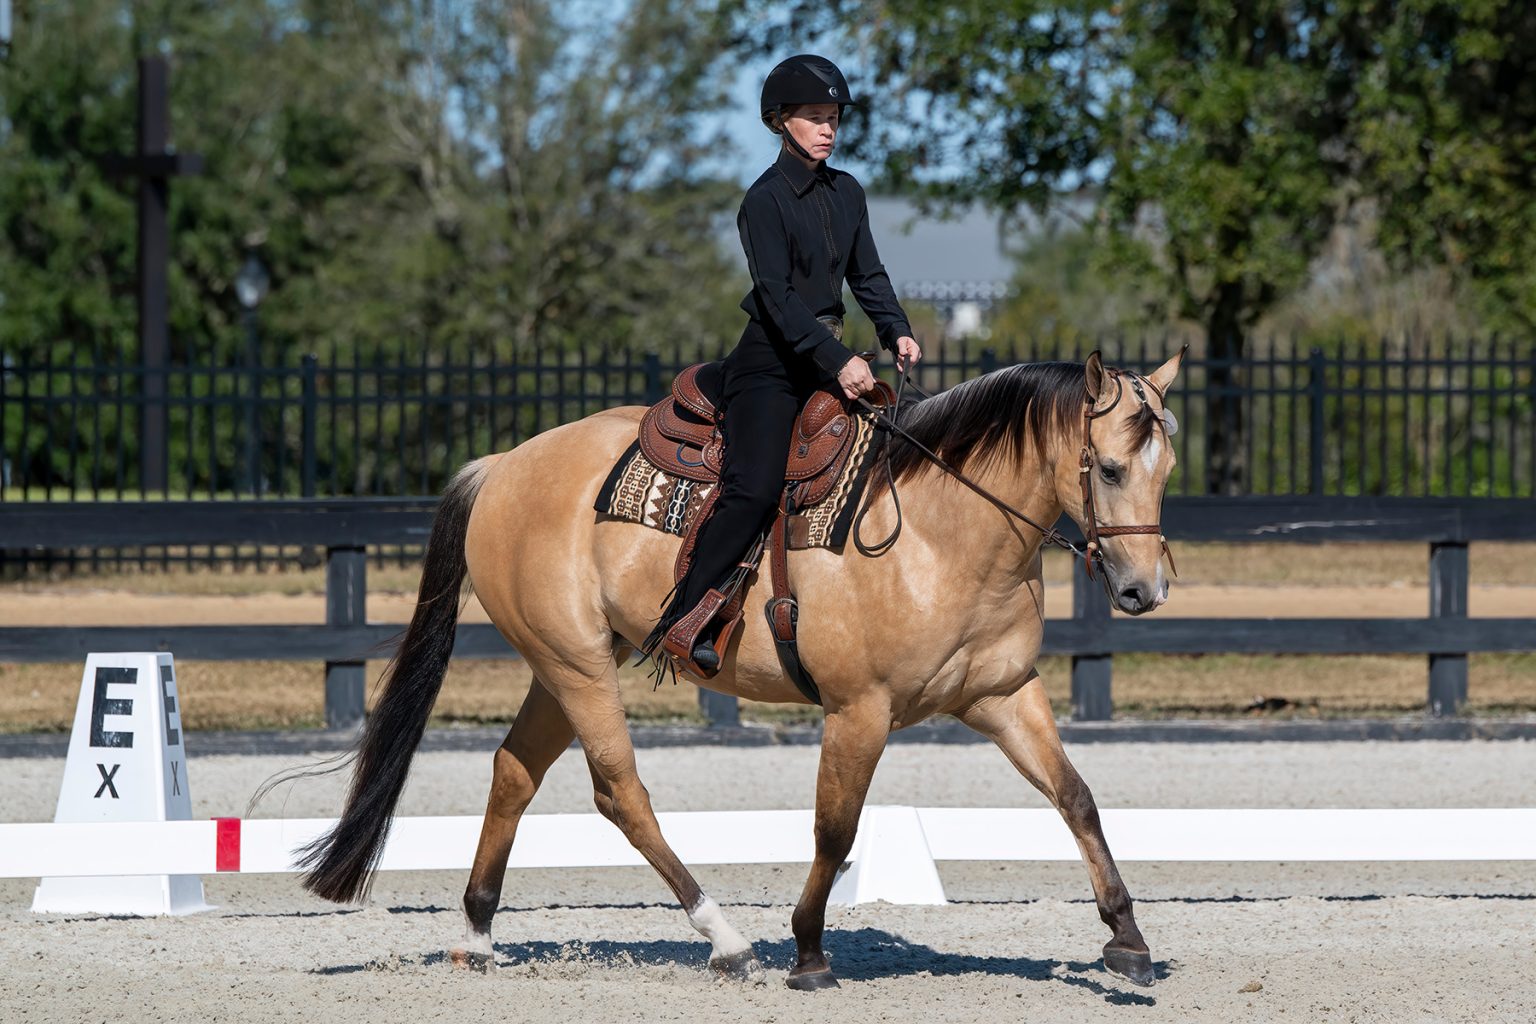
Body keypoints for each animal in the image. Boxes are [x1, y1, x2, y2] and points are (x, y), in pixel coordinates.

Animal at [293, 349, 1184, 990]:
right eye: (1108, 468)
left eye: (1166, 469)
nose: (1144, 590)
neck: (941, 530)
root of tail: (504, 464)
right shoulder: (858, 711)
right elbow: (835, 829)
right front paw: (809, 953)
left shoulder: (1003, 696)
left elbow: (1077, 799)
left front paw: (1128, 939)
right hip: (576, 666)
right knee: (620, 792)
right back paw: (725, 940)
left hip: (564, 665)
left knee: (514, 771)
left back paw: (479, 936)